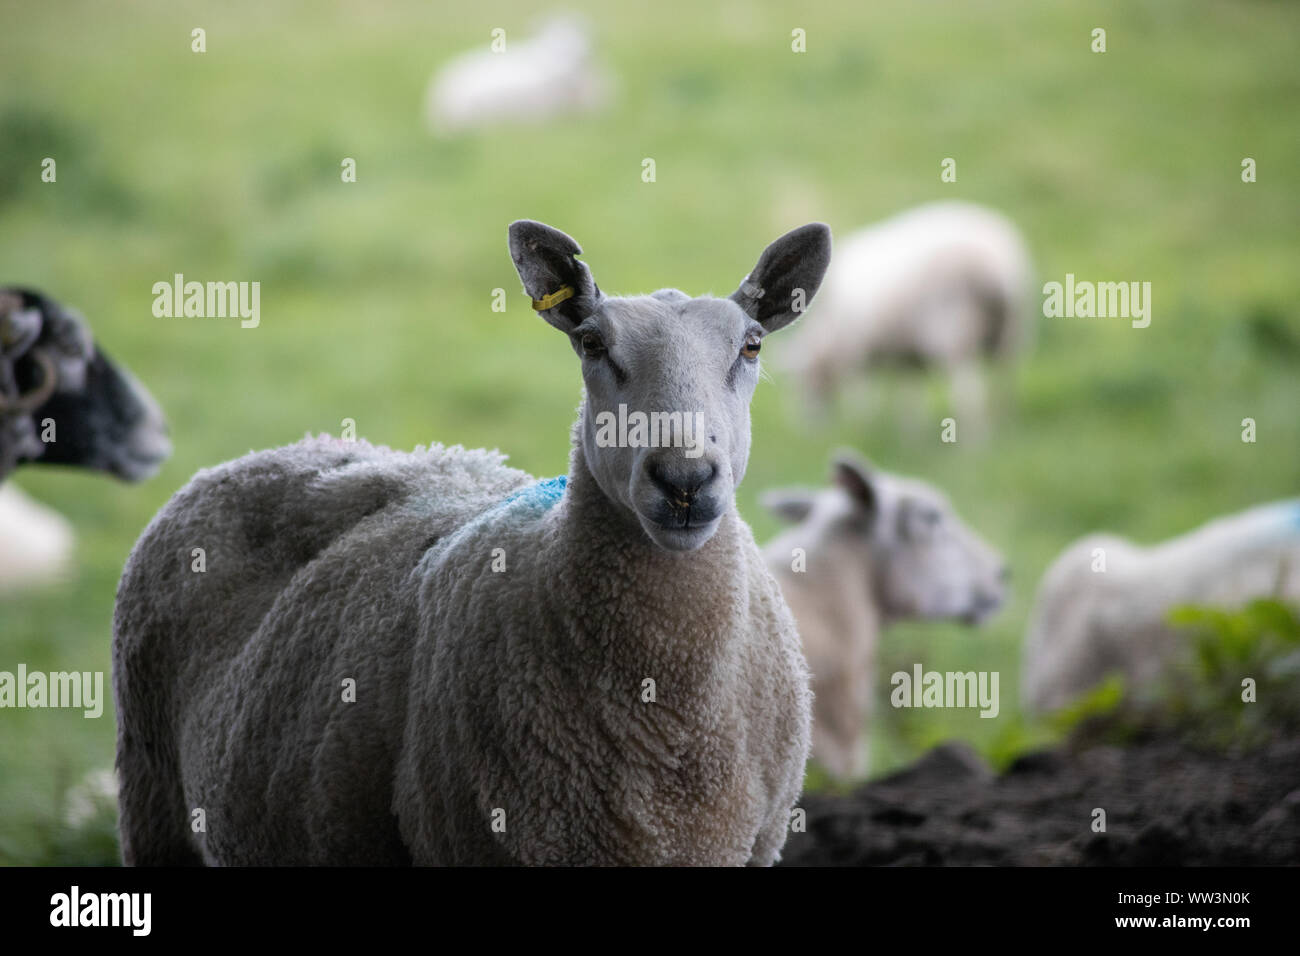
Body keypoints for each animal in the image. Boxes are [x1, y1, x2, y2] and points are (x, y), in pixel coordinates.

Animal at [778, 201, 1033, 433]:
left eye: (800, 381)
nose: (808, 424)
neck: (827, 334)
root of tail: (995, 268)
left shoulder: (856, 353)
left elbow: (860, 393)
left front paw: (861, 423)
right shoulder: (908, 356)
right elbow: (909, 395)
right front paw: (910, 433)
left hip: (955, 332)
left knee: (968, 391)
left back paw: (974, 438)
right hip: (1011, 330)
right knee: (1007, 377)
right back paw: (1006, 420)